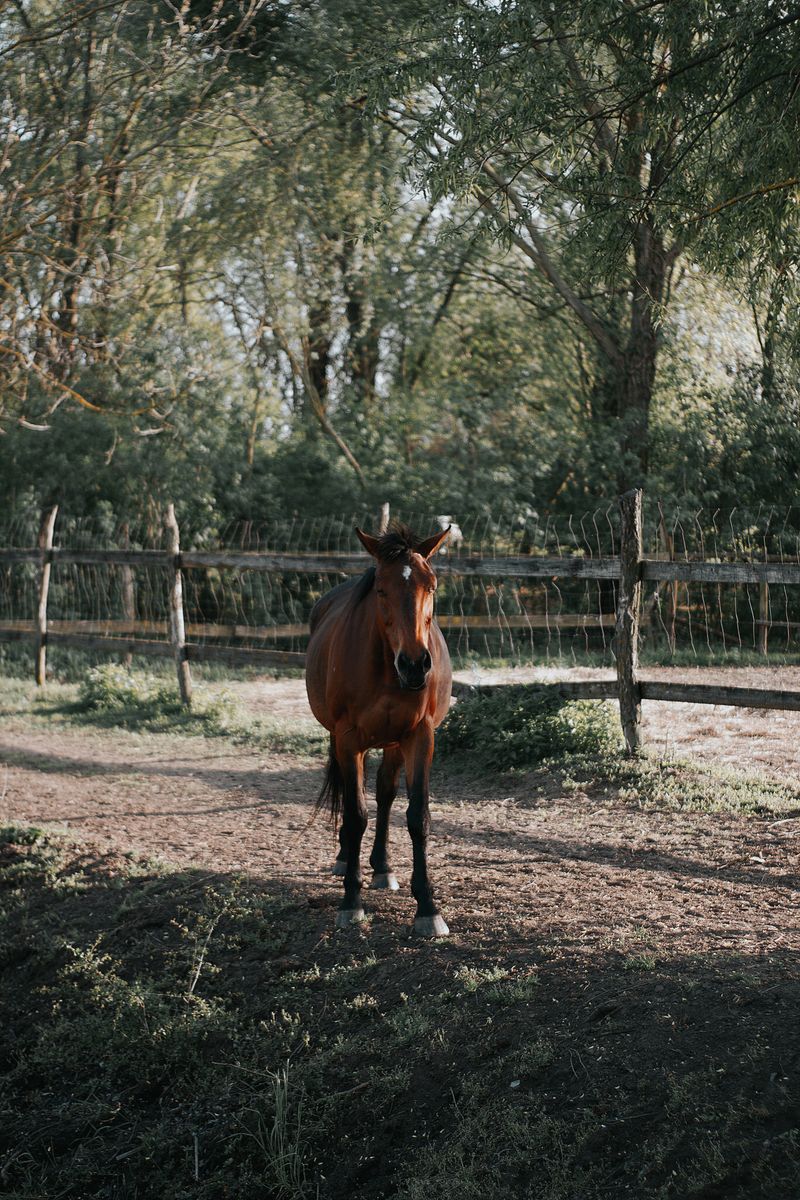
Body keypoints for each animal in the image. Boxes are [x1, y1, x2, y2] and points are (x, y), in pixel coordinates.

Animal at [305, 523, 453, 936]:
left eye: (431, 586)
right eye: (382, 590)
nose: (416, 664)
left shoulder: (419, 737)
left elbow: (417, 816)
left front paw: (428, 908)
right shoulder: (348, 739)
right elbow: (356, 814)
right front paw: (350, 901)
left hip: (393, 742)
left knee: (386, 793)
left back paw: (382, 867)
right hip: (340, 738)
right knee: (349, 795)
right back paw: (345, 859)